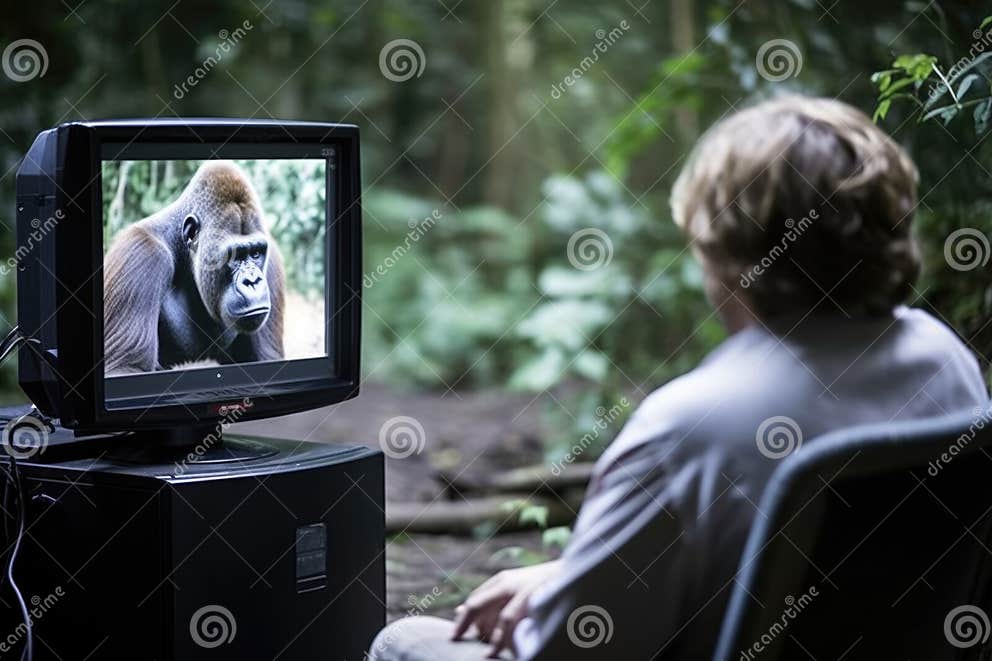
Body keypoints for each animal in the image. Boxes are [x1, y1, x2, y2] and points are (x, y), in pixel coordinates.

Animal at [103, 161, 285, 375]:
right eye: (234, 255)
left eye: (256, 254)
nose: (252, 281)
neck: (181, 246)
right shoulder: (141, 254)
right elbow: (123, 368)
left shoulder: (271, 261)